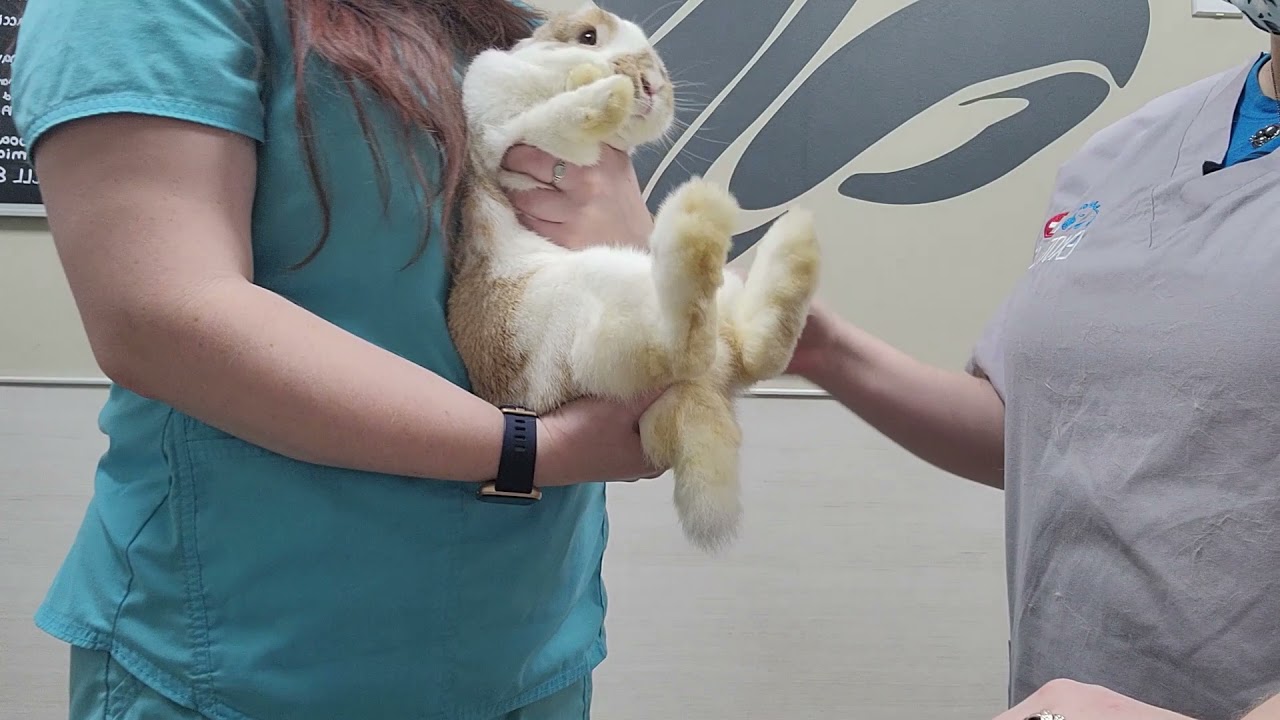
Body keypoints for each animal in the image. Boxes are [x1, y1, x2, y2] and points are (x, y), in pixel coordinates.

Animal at [447, 1, 822, 552]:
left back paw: (784, 243)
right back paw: (715, 224)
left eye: (656, 59)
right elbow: (558, 115)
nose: (650, 83)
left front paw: (602, 89)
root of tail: (702, 392)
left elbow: (562, 117)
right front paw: (602, 88)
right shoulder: (499, 127)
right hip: (574, 320)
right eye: (587, 35)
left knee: (741, 351)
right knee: (695, 350)